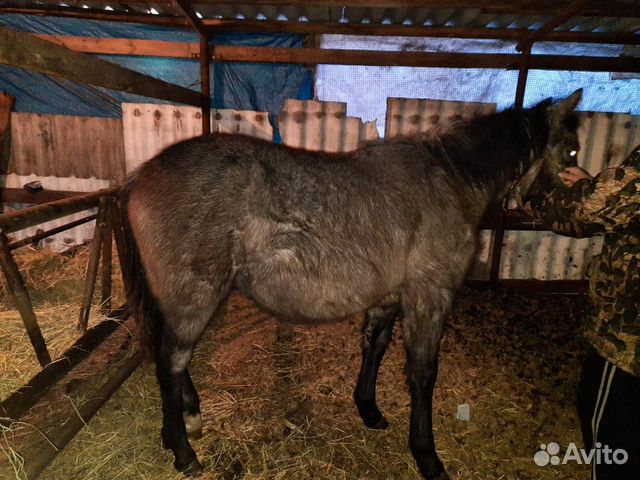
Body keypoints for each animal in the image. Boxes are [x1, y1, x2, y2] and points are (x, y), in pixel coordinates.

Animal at [119, 90, 582, 479]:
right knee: (171, 361)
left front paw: (369, 410)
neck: (453, 179)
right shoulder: (430, 296)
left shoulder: (390, 297)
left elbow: (374, 347)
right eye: (573, 149)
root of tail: (142, 174)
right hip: (195, 296)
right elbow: (423, 373)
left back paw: (187, 420)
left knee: (170, 357)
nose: (569, 212)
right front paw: (427, 455)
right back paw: (183, 450)